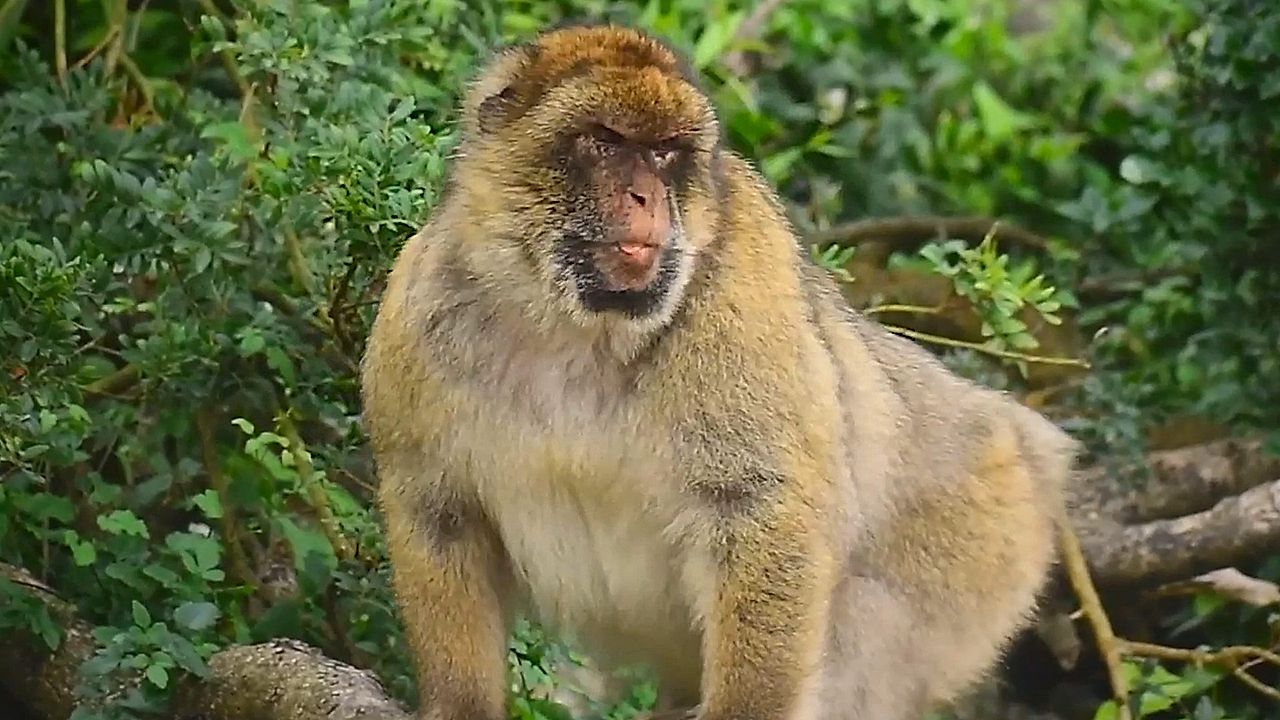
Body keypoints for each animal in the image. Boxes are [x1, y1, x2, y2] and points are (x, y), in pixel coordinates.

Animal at [359, 23, 1077, 720]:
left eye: (664, 153)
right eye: (602, 141)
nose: (646, 197)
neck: (572, 326)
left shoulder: (742, 304)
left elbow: (761, 508)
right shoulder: (417, 315)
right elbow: (440, 512)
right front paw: (460, 702)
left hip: (977, 556)